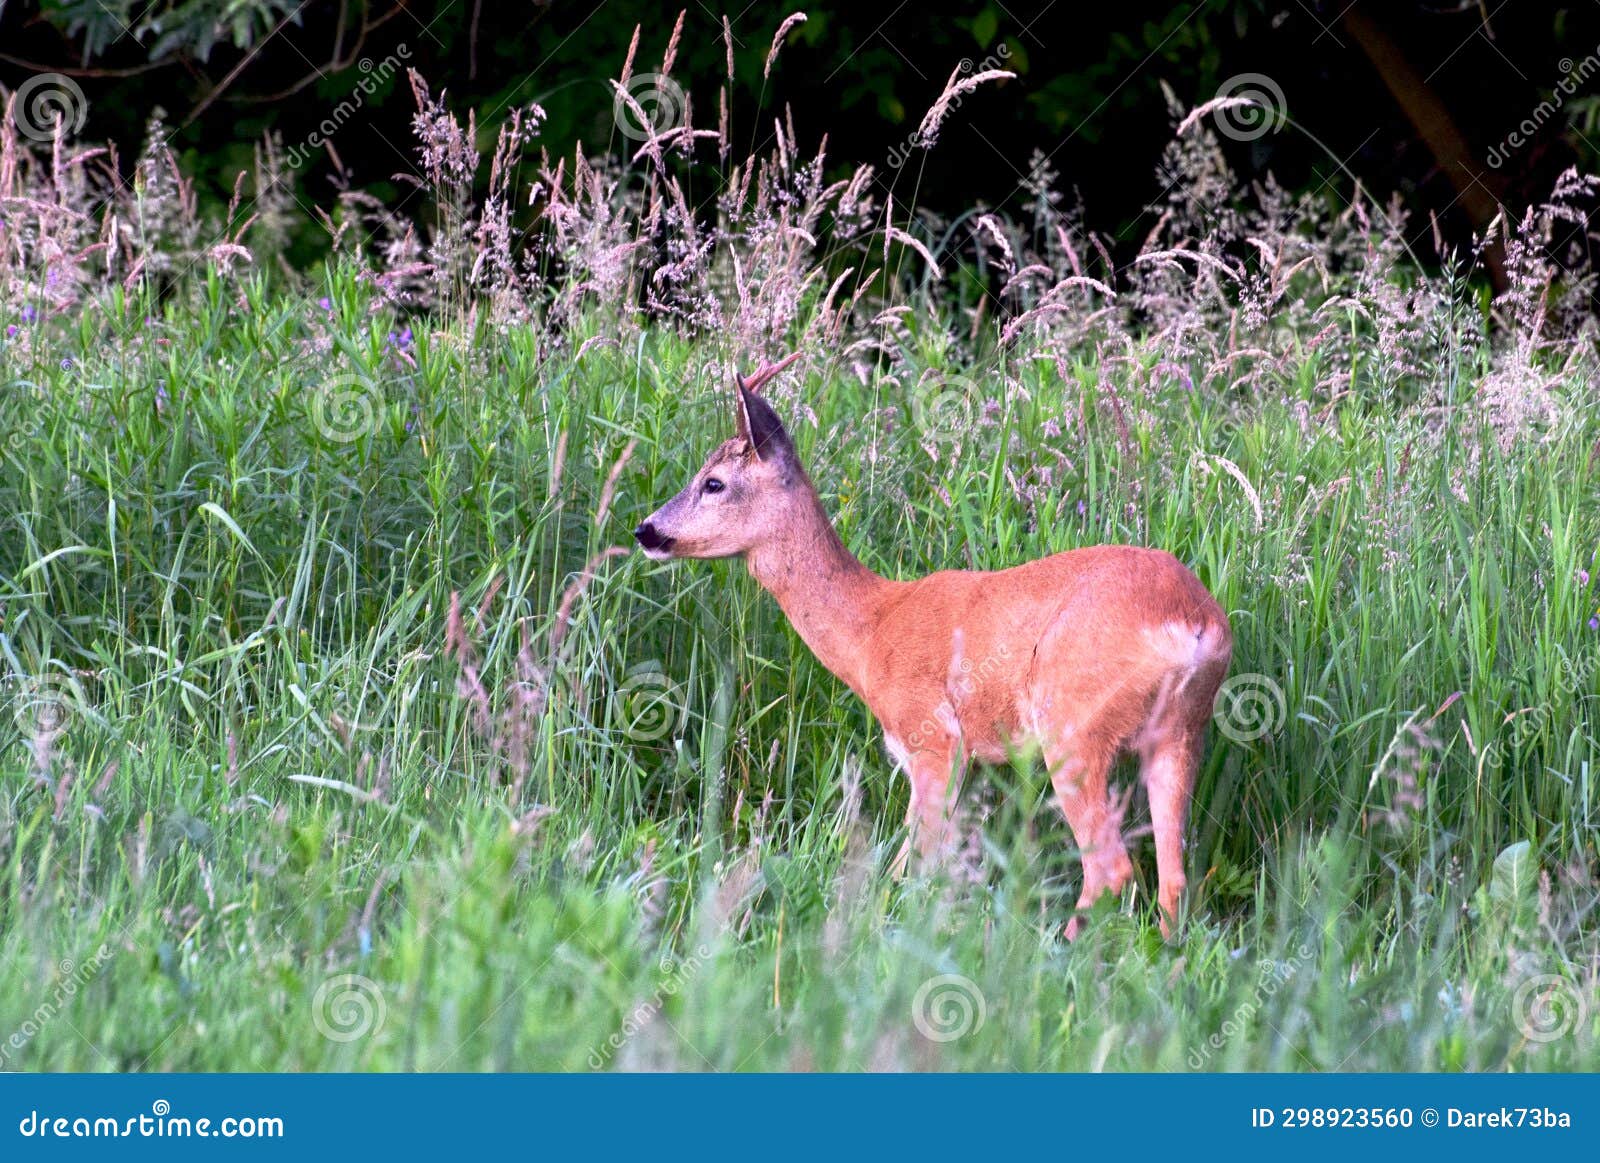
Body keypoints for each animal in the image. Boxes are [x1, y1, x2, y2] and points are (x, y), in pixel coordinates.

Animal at [633, 354, 1232, 938]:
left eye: (713, 482)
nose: (645, 530)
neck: (872, 630)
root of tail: (1192, 623)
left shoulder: (932, 735)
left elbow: (914, 863)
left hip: (1073, 724)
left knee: (1109, 868)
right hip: (1180, 731)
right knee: (1174, 876)